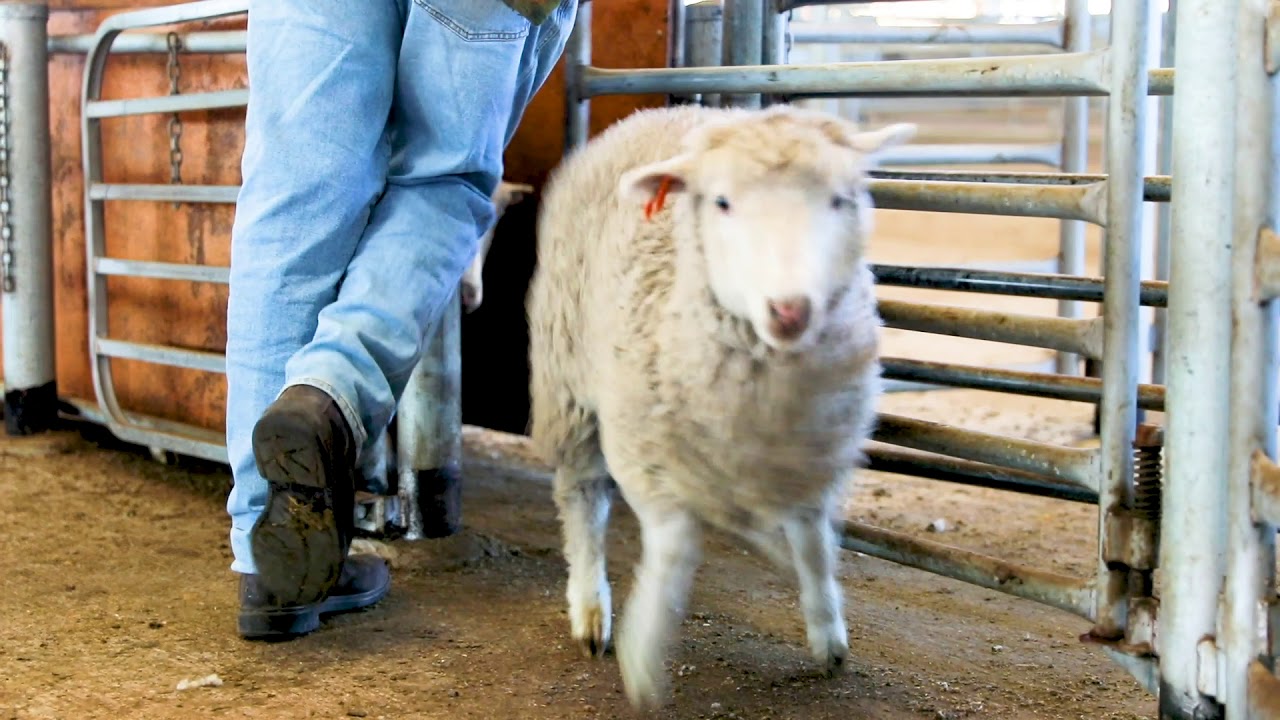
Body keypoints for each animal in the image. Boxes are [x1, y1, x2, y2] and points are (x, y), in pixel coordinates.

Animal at [525, 103, 916, 709]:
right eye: (722, 202)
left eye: (840, 198)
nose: (789, 310)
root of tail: (662, 110)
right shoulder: (646, 451)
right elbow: (674, 546)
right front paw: (643, 658)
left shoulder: (811, 455)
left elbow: (814, 543)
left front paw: (827, 632)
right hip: (569, 384)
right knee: (583, 497)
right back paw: (591, 607)